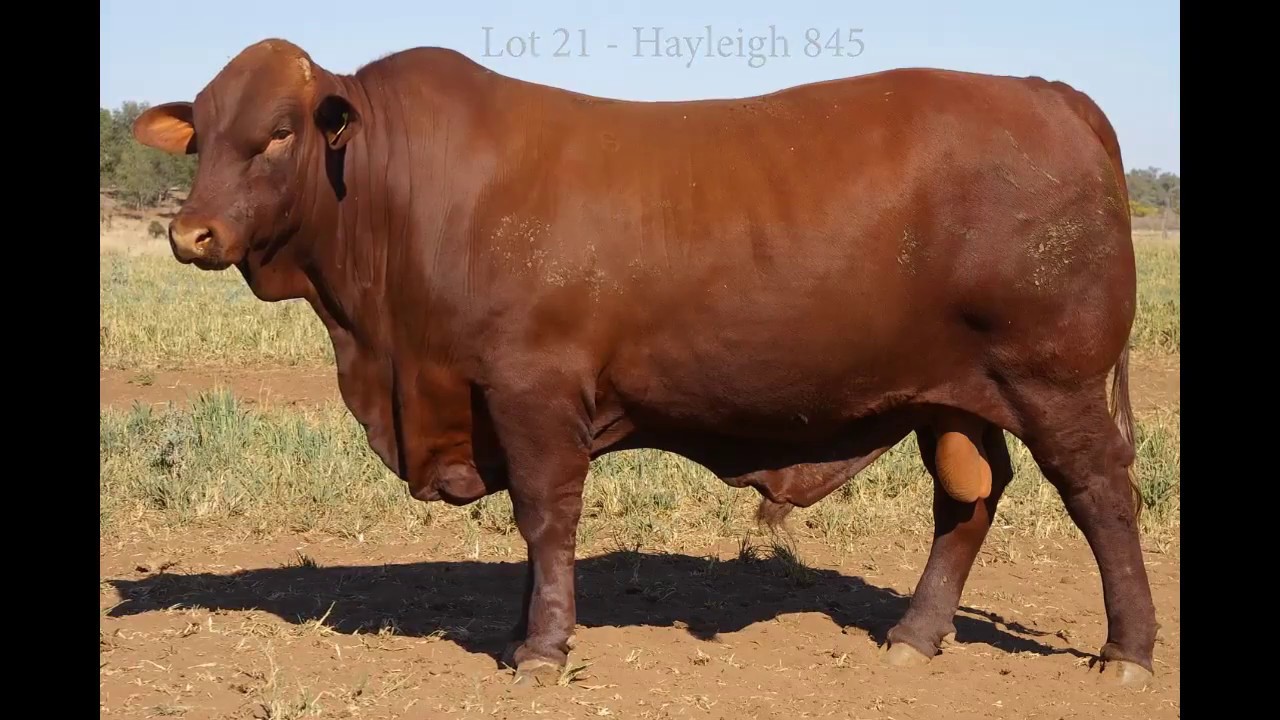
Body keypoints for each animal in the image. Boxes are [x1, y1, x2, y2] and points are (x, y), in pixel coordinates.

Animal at [131, 38, 1155, 689]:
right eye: (204, 134)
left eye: (279, 132)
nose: (192, 233)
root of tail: (1048, 92)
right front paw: (520, 630)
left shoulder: (534, 389)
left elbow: (545, 516)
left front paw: (542, 650)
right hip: (954, 395)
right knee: (968, 498)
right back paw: (914, 637)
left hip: (1055, 380)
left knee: (1101, 494)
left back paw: (1128, 652)